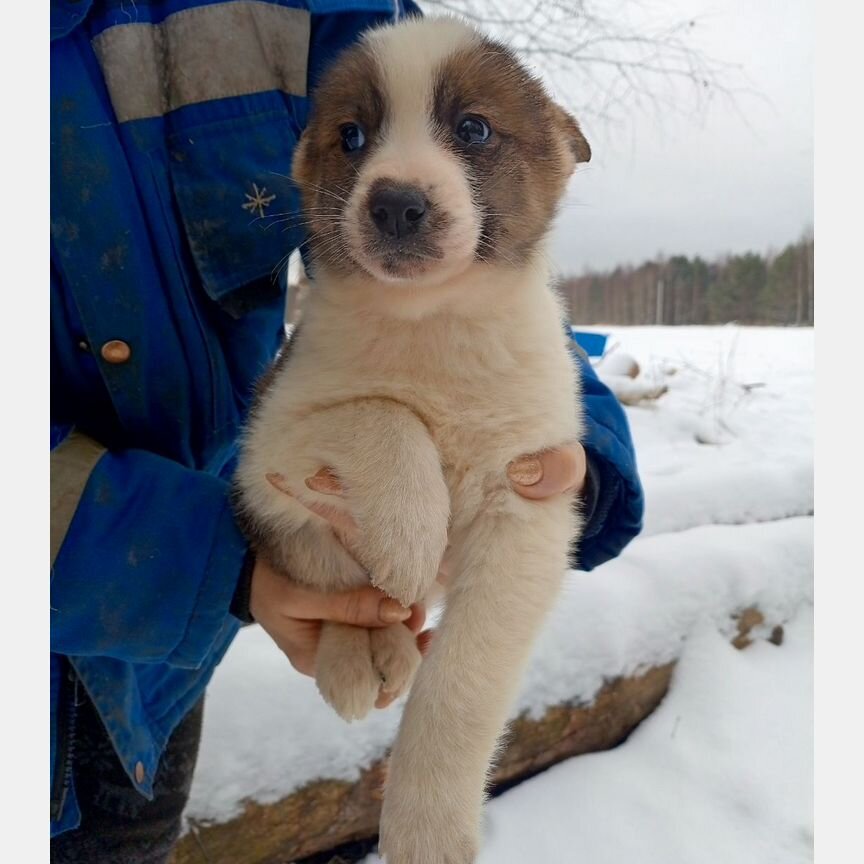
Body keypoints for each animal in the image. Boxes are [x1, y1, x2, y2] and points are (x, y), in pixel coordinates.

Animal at [233, 16, 592, 864]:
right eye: (353, 136)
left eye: (473, 129)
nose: (396, 203)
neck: (433, 321)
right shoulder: (269, 435)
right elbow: (384, 415)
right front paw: (409, 536)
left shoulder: (525, 511)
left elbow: (459, 689)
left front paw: (428, 829)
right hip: (284, 515)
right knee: (336, 587)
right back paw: (357, 661)